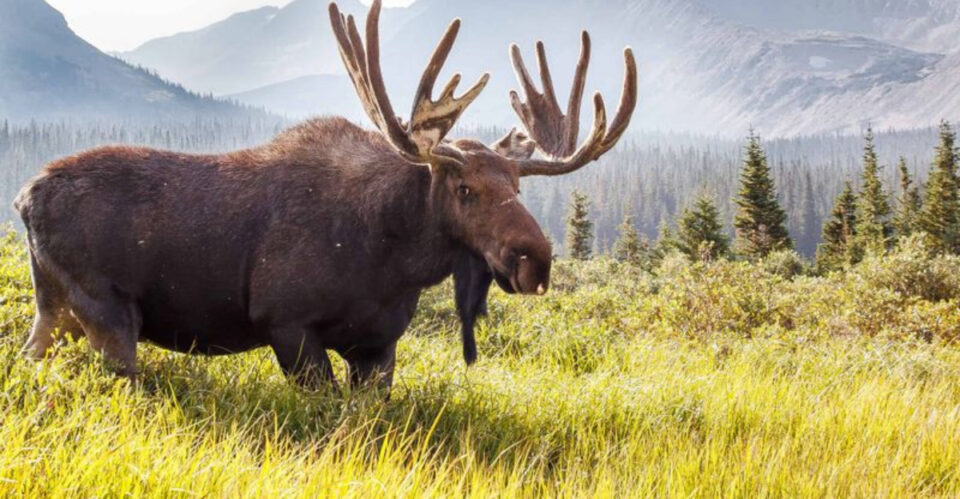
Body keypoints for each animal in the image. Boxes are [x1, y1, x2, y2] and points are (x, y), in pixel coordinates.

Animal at [13, 0, 637, 392]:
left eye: (516, 185)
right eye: (465, 188)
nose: (537, 260)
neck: (393, 260)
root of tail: (24, 198)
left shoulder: (378, 345)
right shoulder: (286, 323)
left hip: (55, 308)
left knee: (28, 359)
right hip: (107, 309)